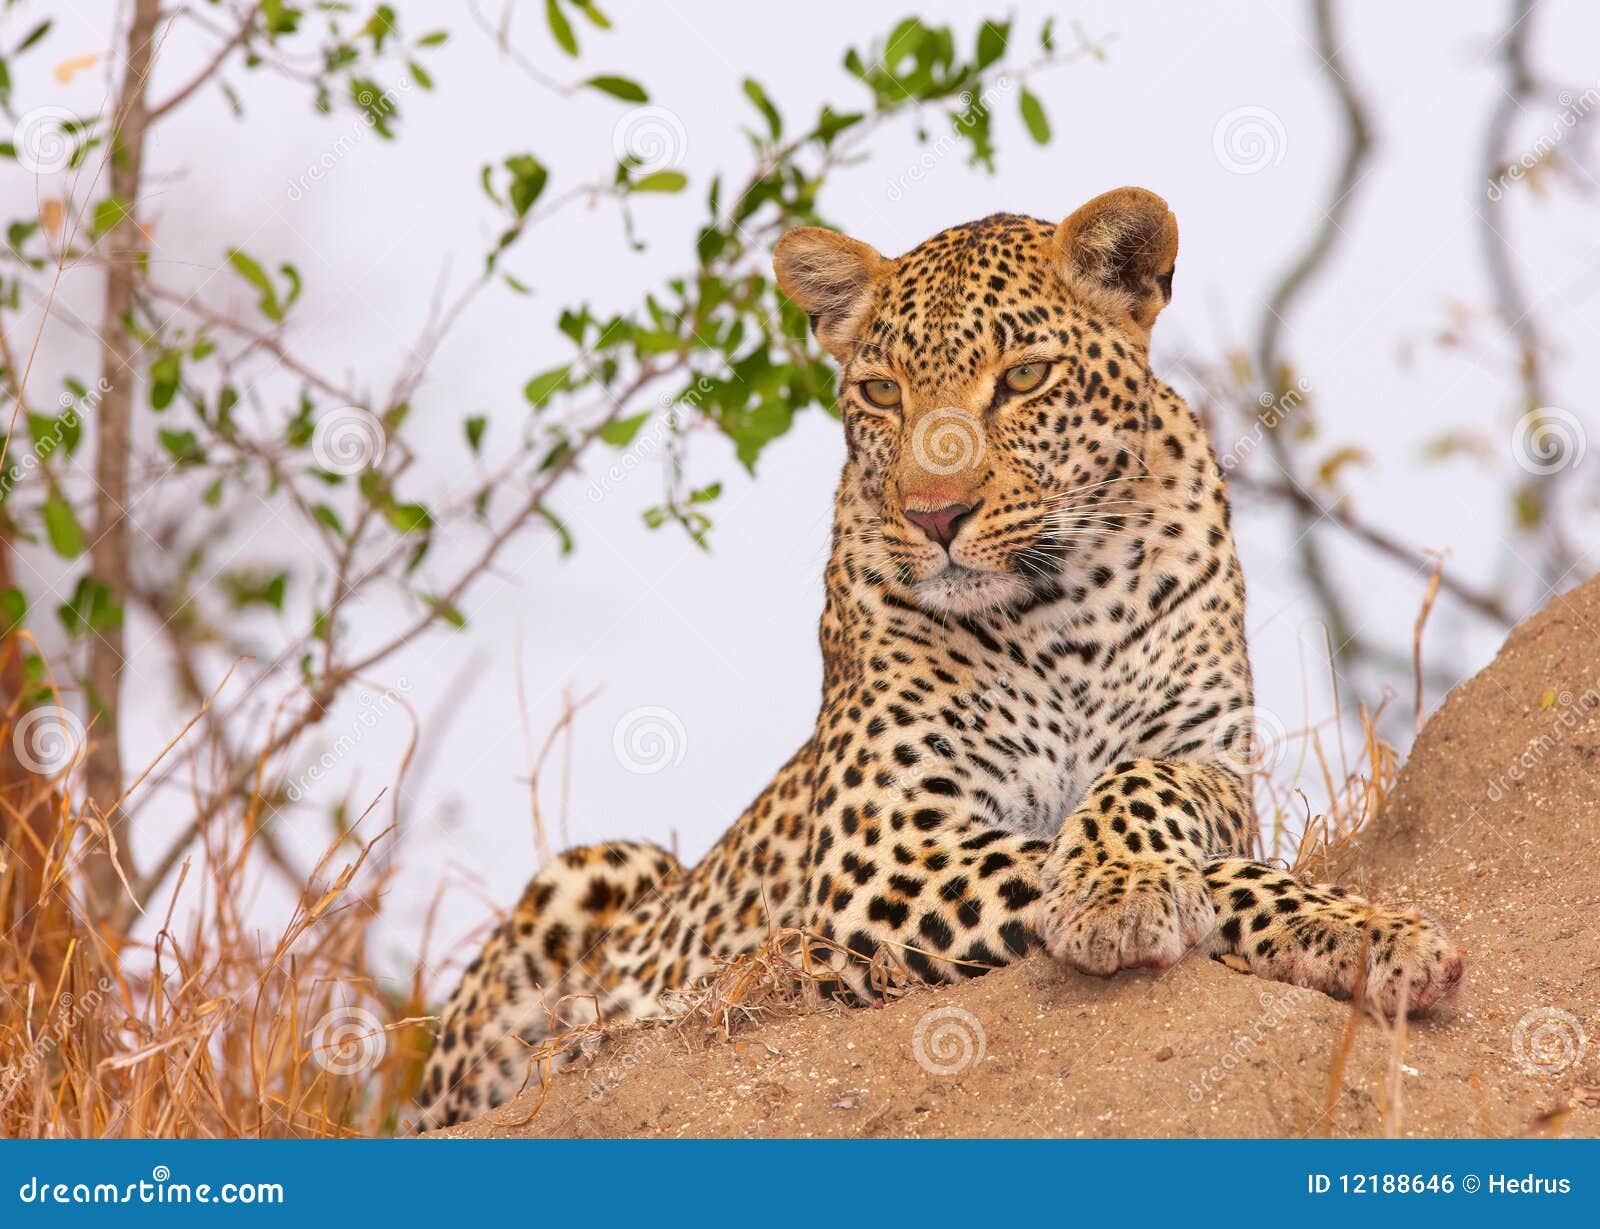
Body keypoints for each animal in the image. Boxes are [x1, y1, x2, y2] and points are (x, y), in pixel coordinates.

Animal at [414, 188, 1463, 1130]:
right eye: (883, 392)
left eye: (1024, 378)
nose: (934, 516)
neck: (1063, 609)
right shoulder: (882, 842)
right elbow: (1095, 863)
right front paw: (1140, 896)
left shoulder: (1210, 763)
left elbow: (1147, 795)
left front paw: (1352, 924)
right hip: (587, 879)